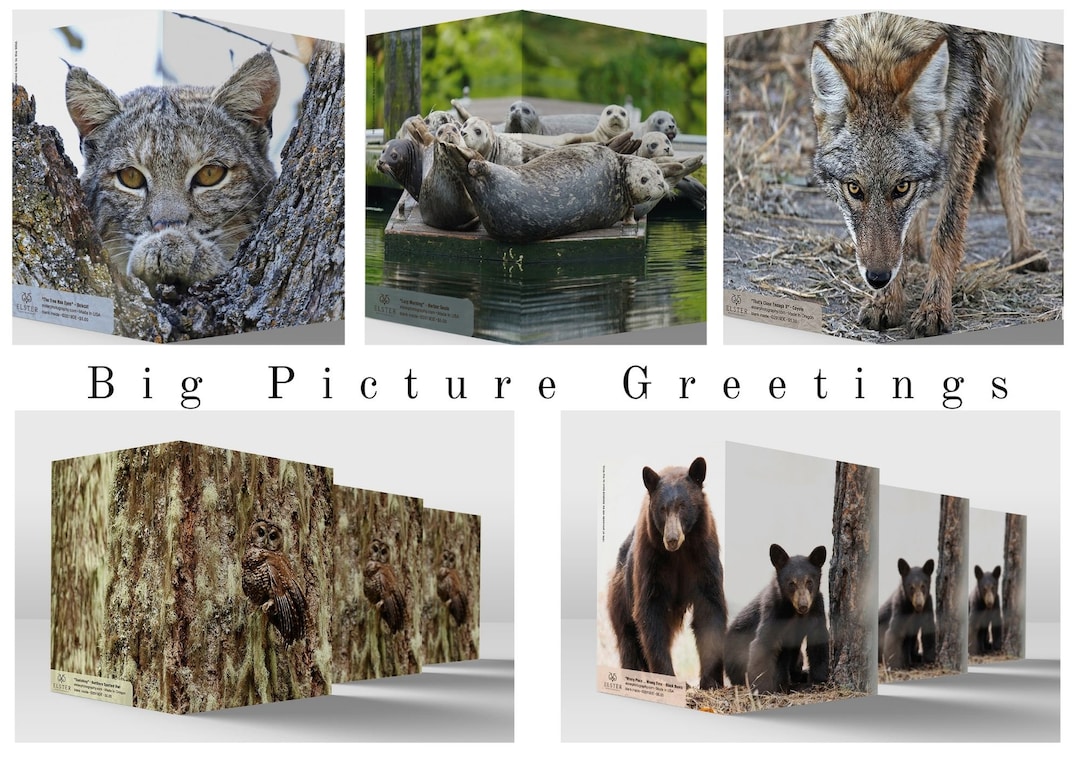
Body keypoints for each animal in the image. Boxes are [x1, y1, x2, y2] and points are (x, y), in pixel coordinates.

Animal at [606, 457, 727, 689]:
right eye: (662, 509)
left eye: (683, 506)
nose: (671, 539)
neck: (679, 553)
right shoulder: (652, 560)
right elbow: (650, 613)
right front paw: (666, 676)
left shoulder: (704, 557)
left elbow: (710, 607)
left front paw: (711, 681)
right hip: (621, 594)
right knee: (628, 637)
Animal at [725, 544, 830, 694]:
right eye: (791, 583)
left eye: (809, 582)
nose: (803, 606)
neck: (794, 612)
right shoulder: (773, 611)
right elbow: (763, 643)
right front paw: (762, 690)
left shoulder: (817, 608)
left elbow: (818, 644)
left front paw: (818, 681)